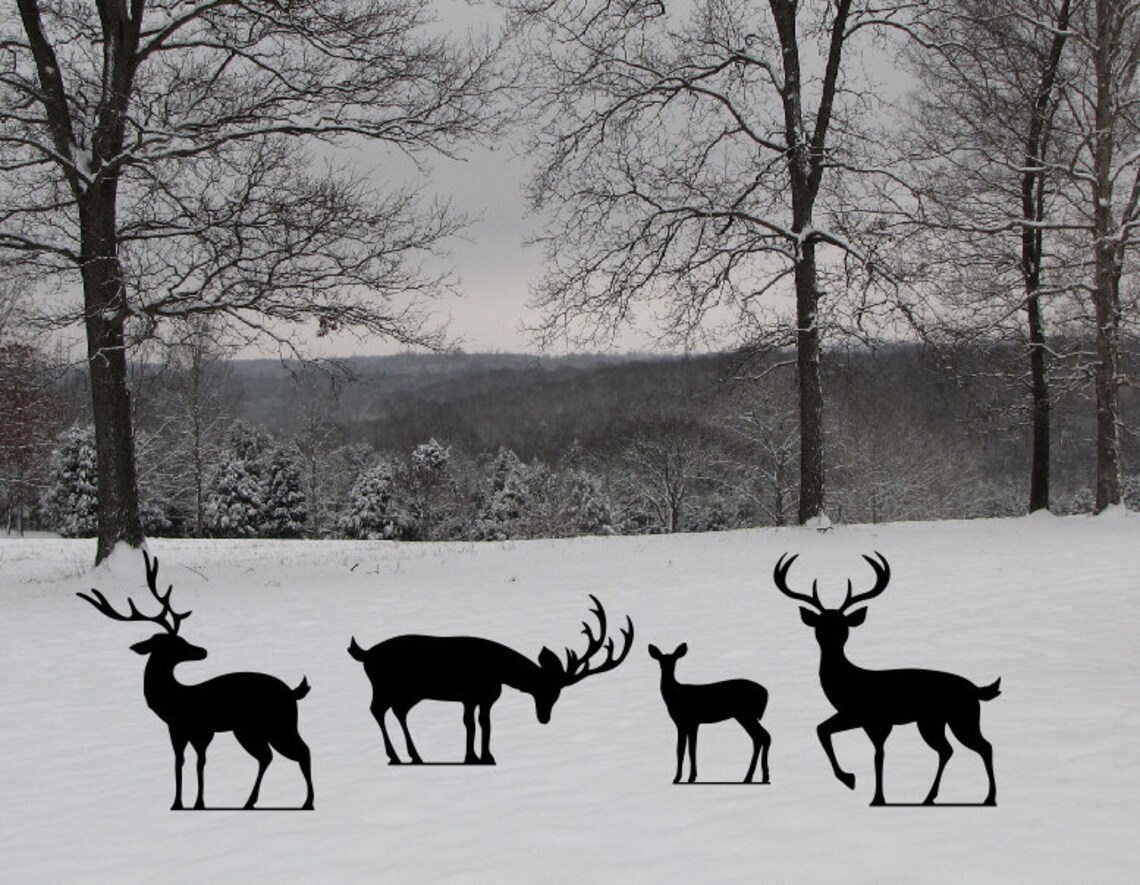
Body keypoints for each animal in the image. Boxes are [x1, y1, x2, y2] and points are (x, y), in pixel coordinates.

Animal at [78, 551, 314, 810]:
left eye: (182, 639)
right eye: (176, 644)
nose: (203, 650)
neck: (174, 700)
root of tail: (293, 692)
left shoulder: (202, 730)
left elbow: (200, 762)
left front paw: (199, 803)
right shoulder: (177, 731)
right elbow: (179, 762)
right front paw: (177, 803)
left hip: (280, 723)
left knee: (303, 751)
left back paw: (306, 802)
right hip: (249, 729)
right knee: (267, 756)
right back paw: (250, 802)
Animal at [348, 594, 633, 764]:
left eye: (557, 694)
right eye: (545, 689)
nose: (544, 718)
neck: (498, 671)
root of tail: (365, 654)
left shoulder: (482, 698)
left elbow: (483, 724)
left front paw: (484, 756)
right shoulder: (470, 694)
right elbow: (472, 725)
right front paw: (474, 757)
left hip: (410, 692)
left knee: (397, 711)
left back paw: (414, 755)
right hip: (386, 686)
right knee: (377, 710)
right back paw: (396, 756)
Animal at [647, 642, 771, 784]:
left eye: (674, 661)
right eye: (661, 661)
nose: (667, 673)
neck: (675, 695)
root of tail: (766, 693)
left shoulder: (690, 721)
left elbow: (689, 750)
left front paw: (685, 777)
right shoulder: (685, 724)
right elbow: (682, 750)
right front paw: (684, 777)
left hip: (746, 714)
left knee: (762, 737)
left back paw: (752, 777)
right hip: (746, 715)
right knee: (761, 738)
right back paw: (760, 777)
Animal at [774, 552, 998, 806]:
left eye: (842, 625)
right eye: (820, 625)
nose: (831, 638)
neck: (846, 682)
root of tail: (976, 689)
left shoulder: (871, 717)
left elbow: (875, 754)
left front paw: (871, 794)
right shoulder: (860, 718)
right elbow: (825, 730)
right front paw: (855, 782)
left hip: (962, 717)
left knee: (983, 746)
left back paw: (988, 798)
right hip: (934, 721)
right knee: (948, 749)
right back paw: (929, 797)